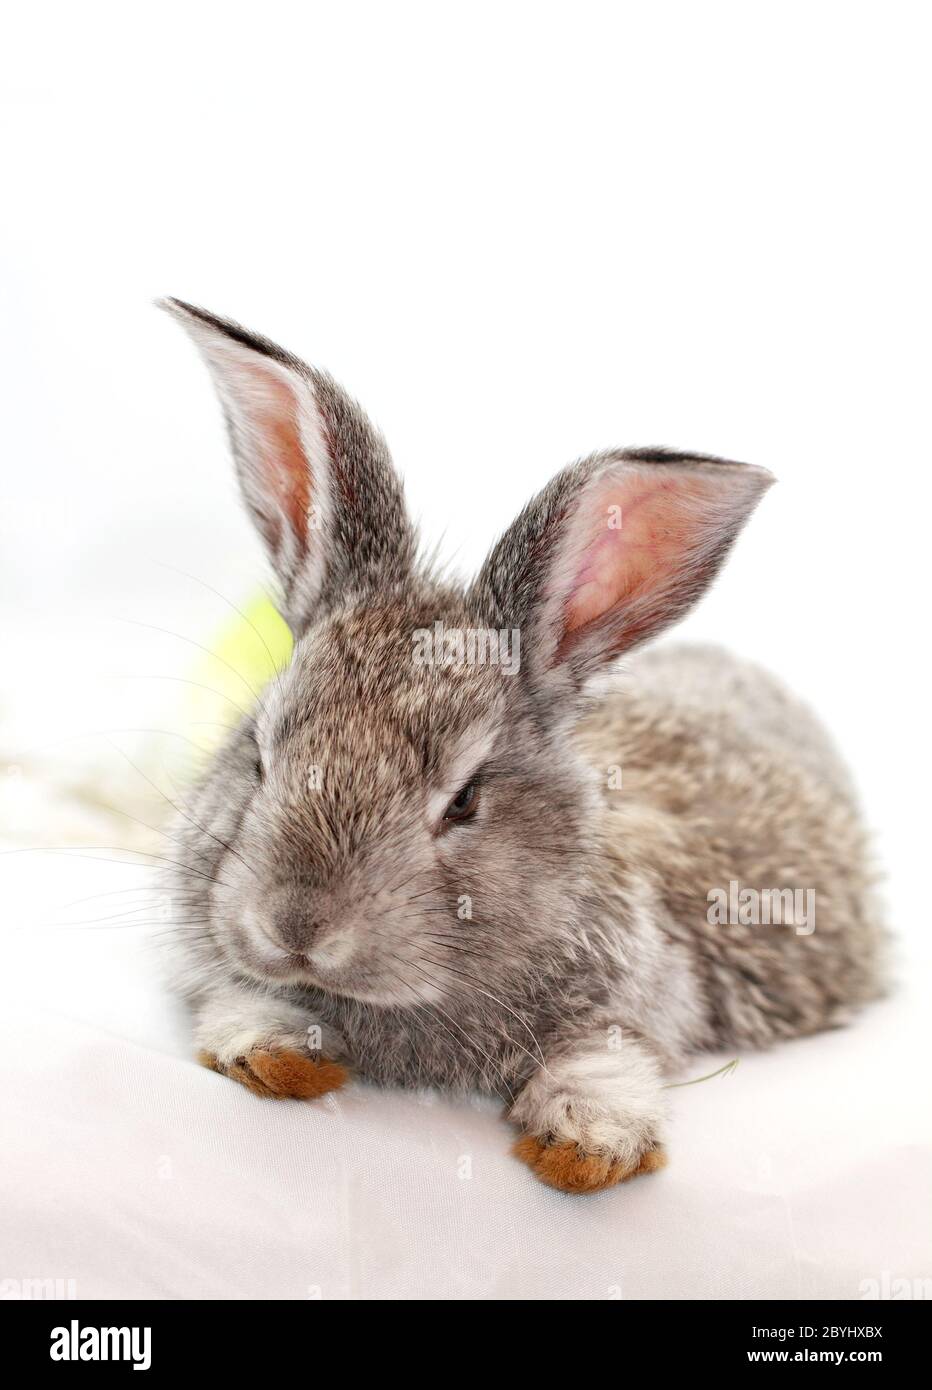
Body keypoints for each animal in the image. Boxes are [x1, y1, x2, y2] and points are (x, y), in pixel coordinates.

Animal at [158, 298, 885, 1193]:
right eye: (259, 752)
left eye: (466, 799)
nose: (296, 926)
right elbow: (240, 1002)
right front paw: (275, 1055)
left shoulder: (636, 1000)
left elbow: (605, 1064)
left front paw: (584, 1147)